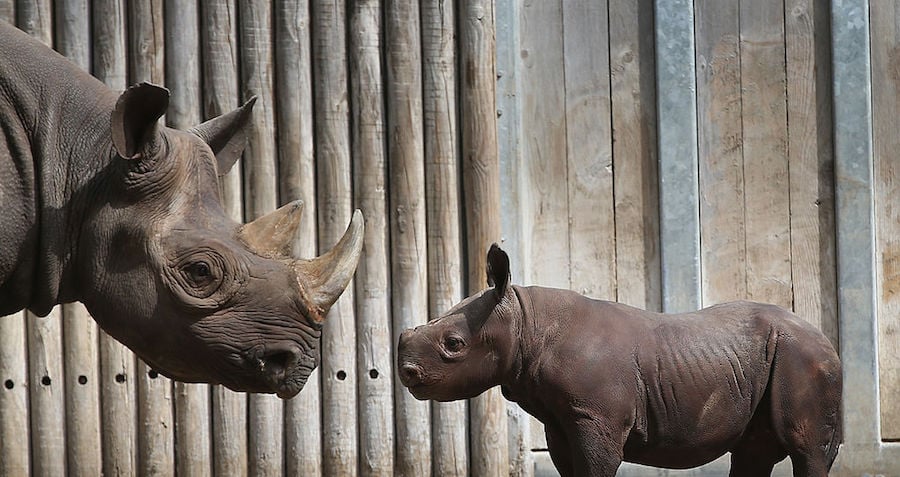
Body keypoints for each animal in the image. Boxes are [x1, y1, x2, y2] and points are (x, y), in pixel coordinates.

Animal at [397, 244, 842, 476]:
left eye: (453, 344)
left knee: (806, 450)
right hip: (775, 359)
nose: (406, 372)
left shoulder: (597, 416)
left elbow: (597, 467)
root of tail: (828, 340)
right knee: (753, 451)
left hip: (803, 357)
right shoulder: (563, 418)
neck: (527, 321)